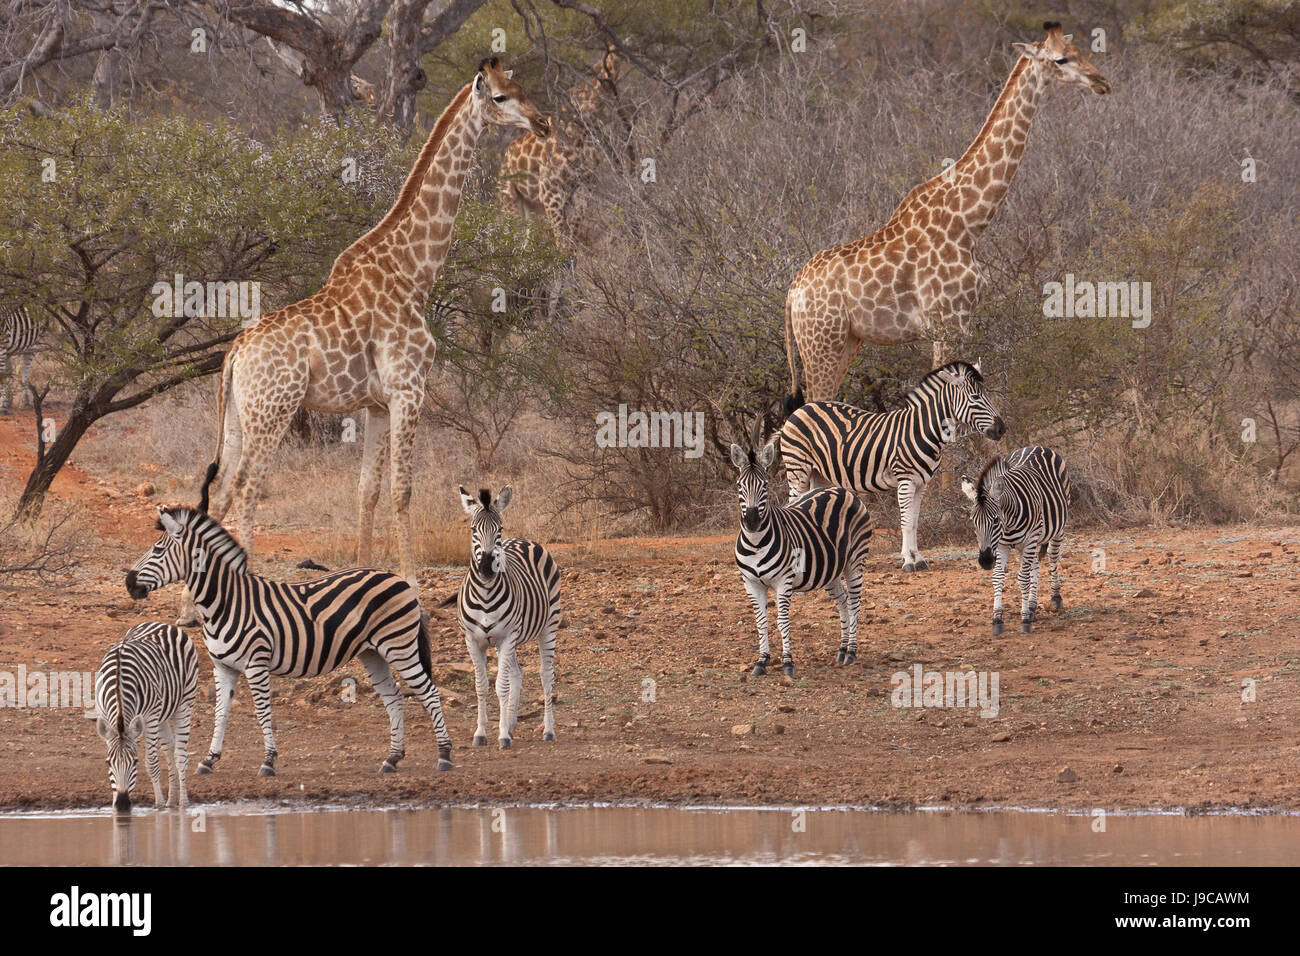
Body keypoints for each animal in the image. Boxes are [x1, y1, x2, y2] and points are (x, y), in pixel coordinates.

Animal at [201, 59, 549, 612]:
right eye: (499, 97)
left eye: (521, 88)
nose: (543, 124)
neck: (414, 271)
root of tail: (235, 351)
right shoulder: (410, 389)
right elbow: (402, 491)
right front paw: (413, 588)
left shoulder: (377, 404)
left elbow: (366, 489)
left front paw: (364, 577)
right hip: (272, 411)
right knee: (246, 489)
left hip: (237, 414)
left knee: (220, 492)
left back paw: (191, 606)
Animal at [497, 46, 623, 247]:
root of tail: (503, 164)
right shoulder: (550, 191)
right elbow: (562, 240)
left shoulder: (584, 188)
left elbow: (572, 233)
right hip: (510, 200)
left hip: (531, 208)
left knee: (525, 243)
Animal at [784, 23, 1111, 402]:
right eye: (1061, 59)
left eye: (1080, 51)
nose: (1102, 81)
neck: (969, 219)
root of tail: (792, 294)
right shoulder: (947, 322)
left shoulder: (963, 321)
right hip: (822, 343)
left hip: (847, 341)